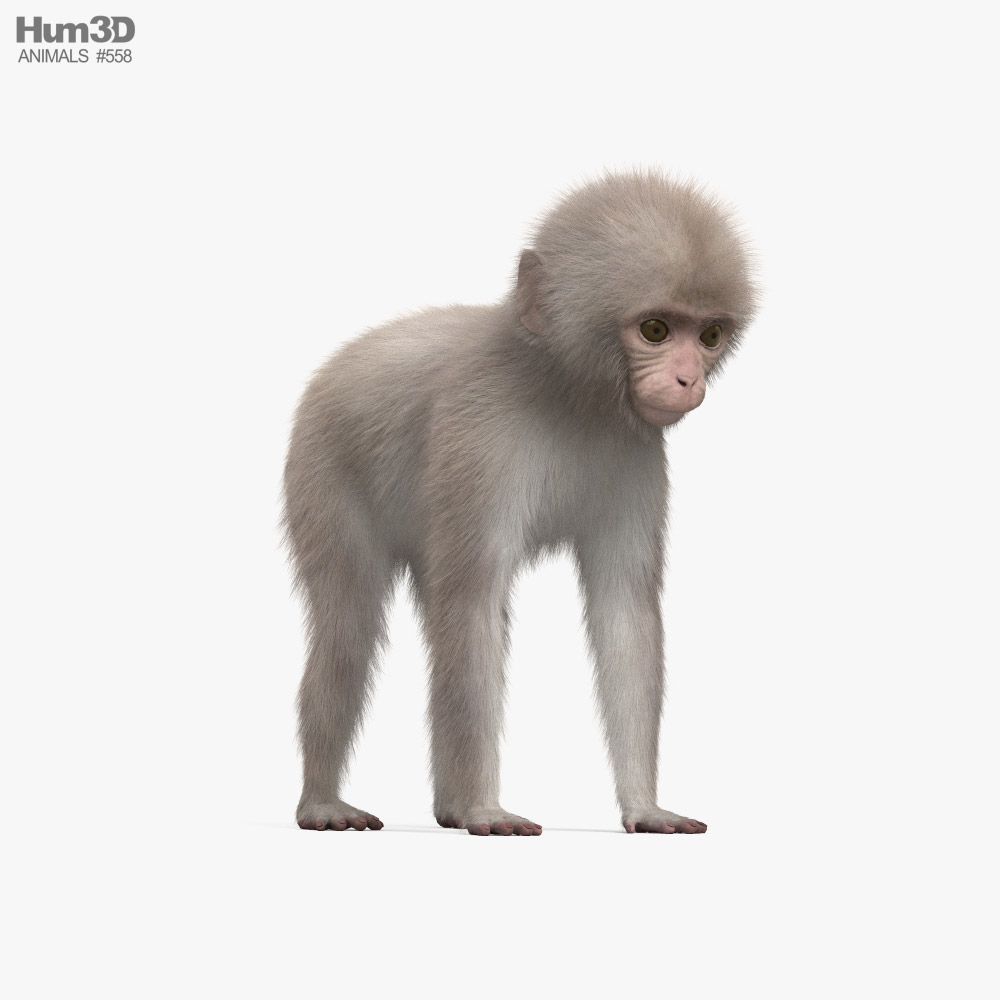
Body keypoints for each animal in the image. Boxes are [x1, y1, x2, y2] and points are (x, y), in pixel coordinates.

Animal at [284, 171, 758, 836]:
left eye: (709, 335)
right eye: (656, 330)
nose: (689, 379)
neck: (565, 391)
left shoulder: (635, 455)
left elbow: (623, 611)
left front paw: (644, 807)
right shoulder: (483, 432)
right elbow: (473, 601)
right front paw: (487, 809)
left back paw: (450, 807)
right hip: (320, 461)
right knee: (350, 623)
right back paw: (325, 803)